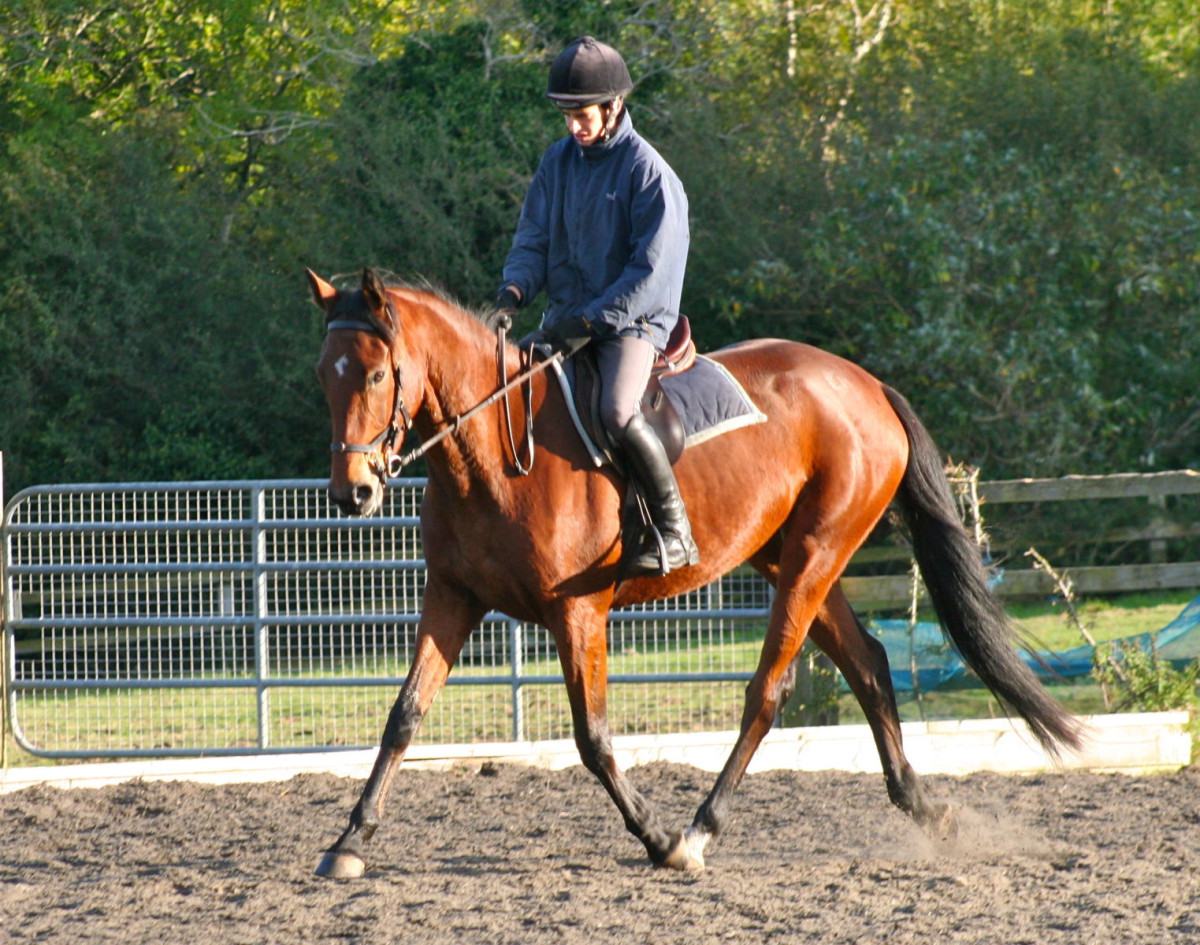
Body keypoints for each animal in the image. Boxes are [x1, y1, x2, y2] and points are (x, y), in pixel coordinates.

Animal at [307, 267, 1082, 877]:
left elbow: (593, 737)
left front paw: (657, 838)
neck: (497, 448)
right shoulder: (453, 597)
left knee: (768, 692)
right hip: (791, 557)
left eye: (375, 373)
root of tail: (866, 385)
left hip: (815, 556)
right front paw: (348, 842)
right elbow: (403, 716)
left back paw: (701, 828)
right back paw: (923, 806)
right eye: (324, 376)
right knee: (868, 663)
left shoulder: (577, 612)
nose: (353, 494)